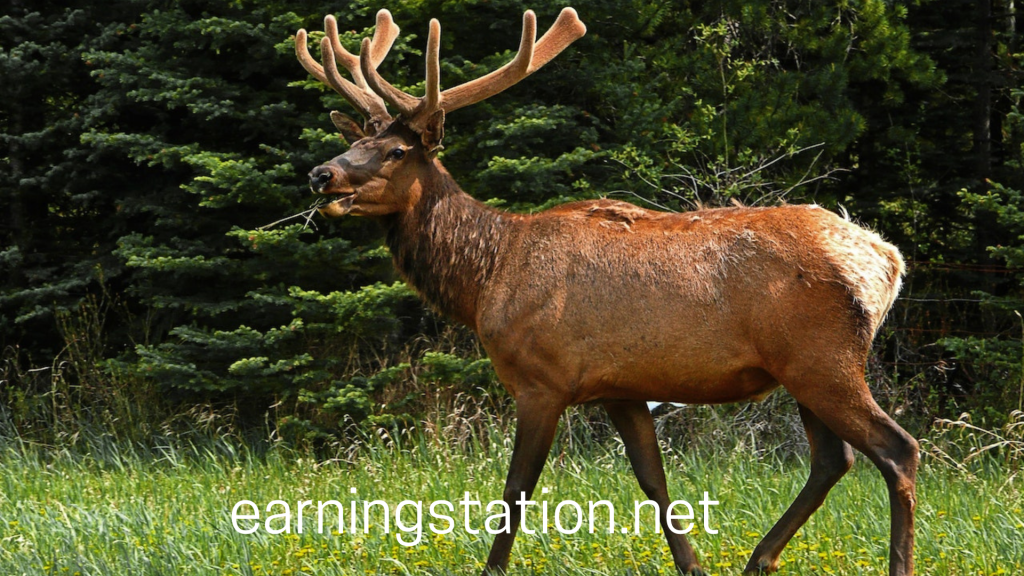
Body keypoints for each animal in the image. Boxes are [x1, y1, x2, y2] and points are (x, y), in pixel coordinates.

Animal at [293, 7, 918, 576]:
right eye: (357, 141)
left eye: (397, 151)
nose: (322, 175)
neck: (485, 279)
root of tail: (887, 260)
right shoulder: (621, 387)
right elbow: (655, 483)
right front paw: (693, 566)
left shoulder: (542, 380)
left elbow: (516, 491)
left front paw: (492, 568)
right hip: (801, 368)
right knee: (832, 460)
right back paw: (758, 560)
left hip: (823, 358)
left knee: (896, 449)